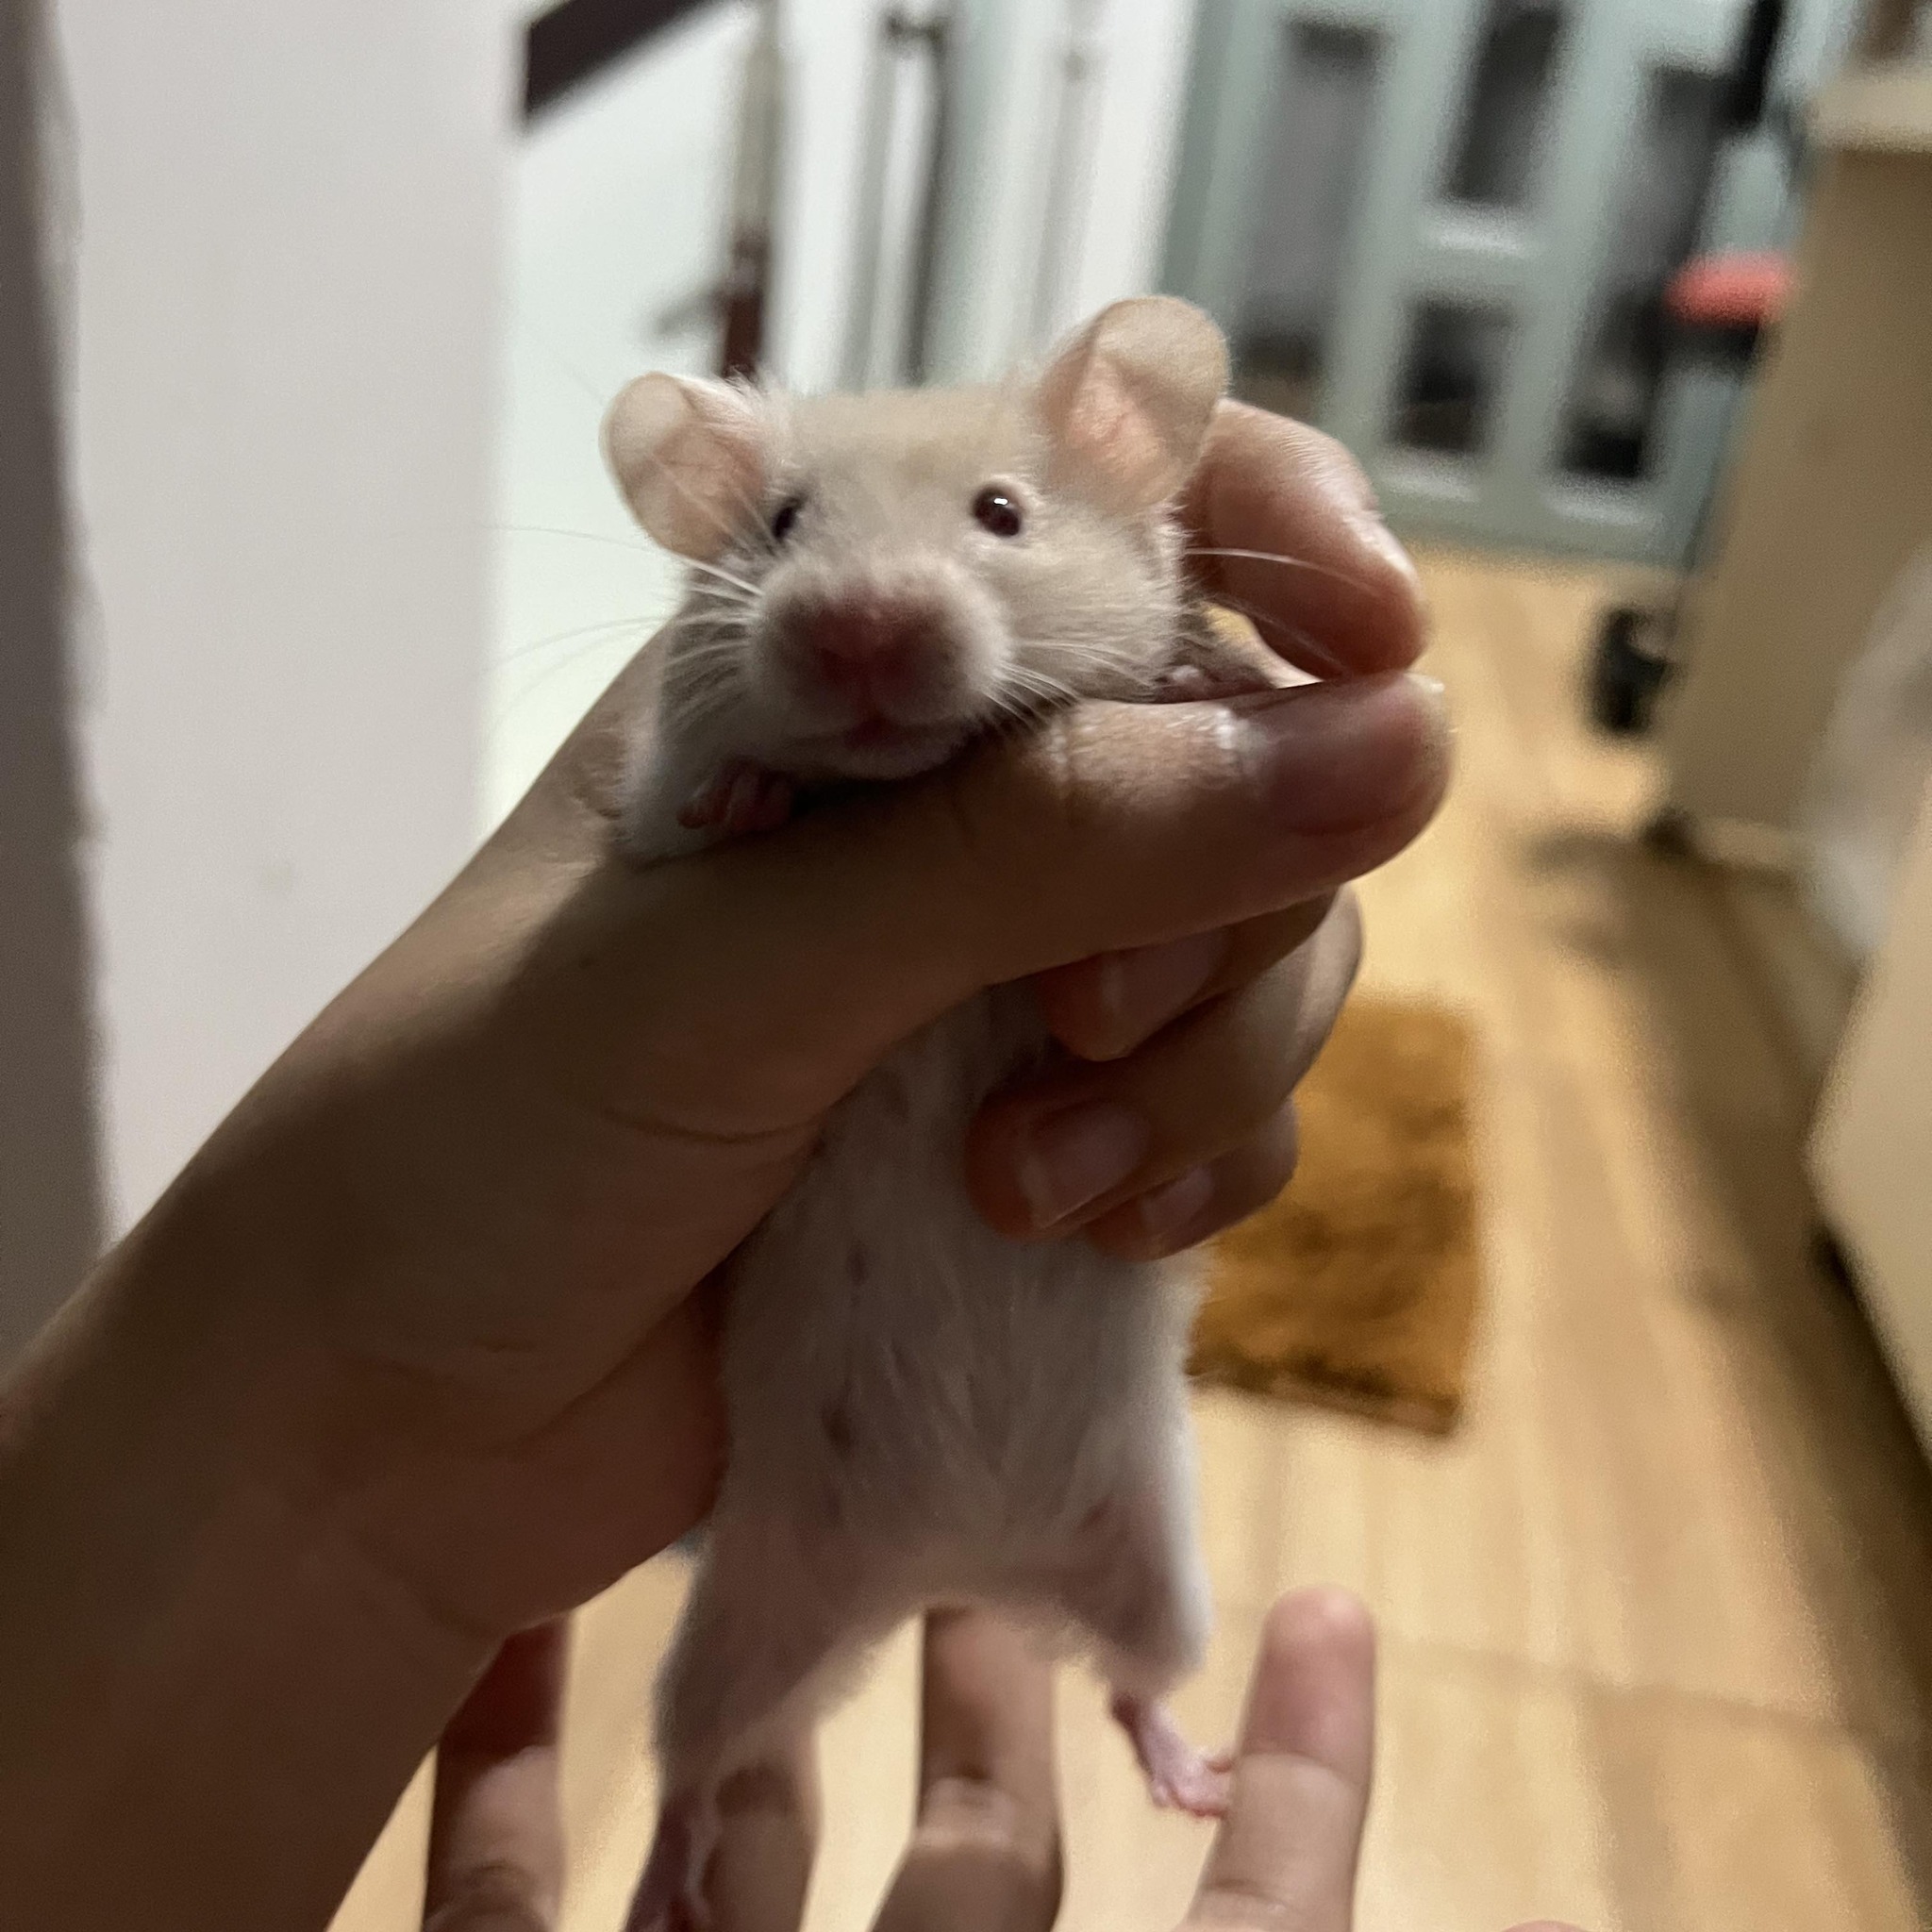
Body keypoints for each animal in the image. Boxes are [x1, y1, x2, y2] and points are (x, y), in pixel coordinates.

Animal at [604, 297, 1254, 1932]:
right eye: (781, 525)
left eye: (1003, 514)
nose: (859, 632)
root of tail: (962, 1567)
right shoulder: (649, 832)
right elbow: (695, 808)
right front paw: (756, 793)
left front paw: (1186, 687)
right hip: (747, 1616)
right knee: (701, 1759)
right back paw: (672, 1880)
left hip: (1160, 1566)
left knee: (1133, 1685)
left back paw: (1198, 1779)